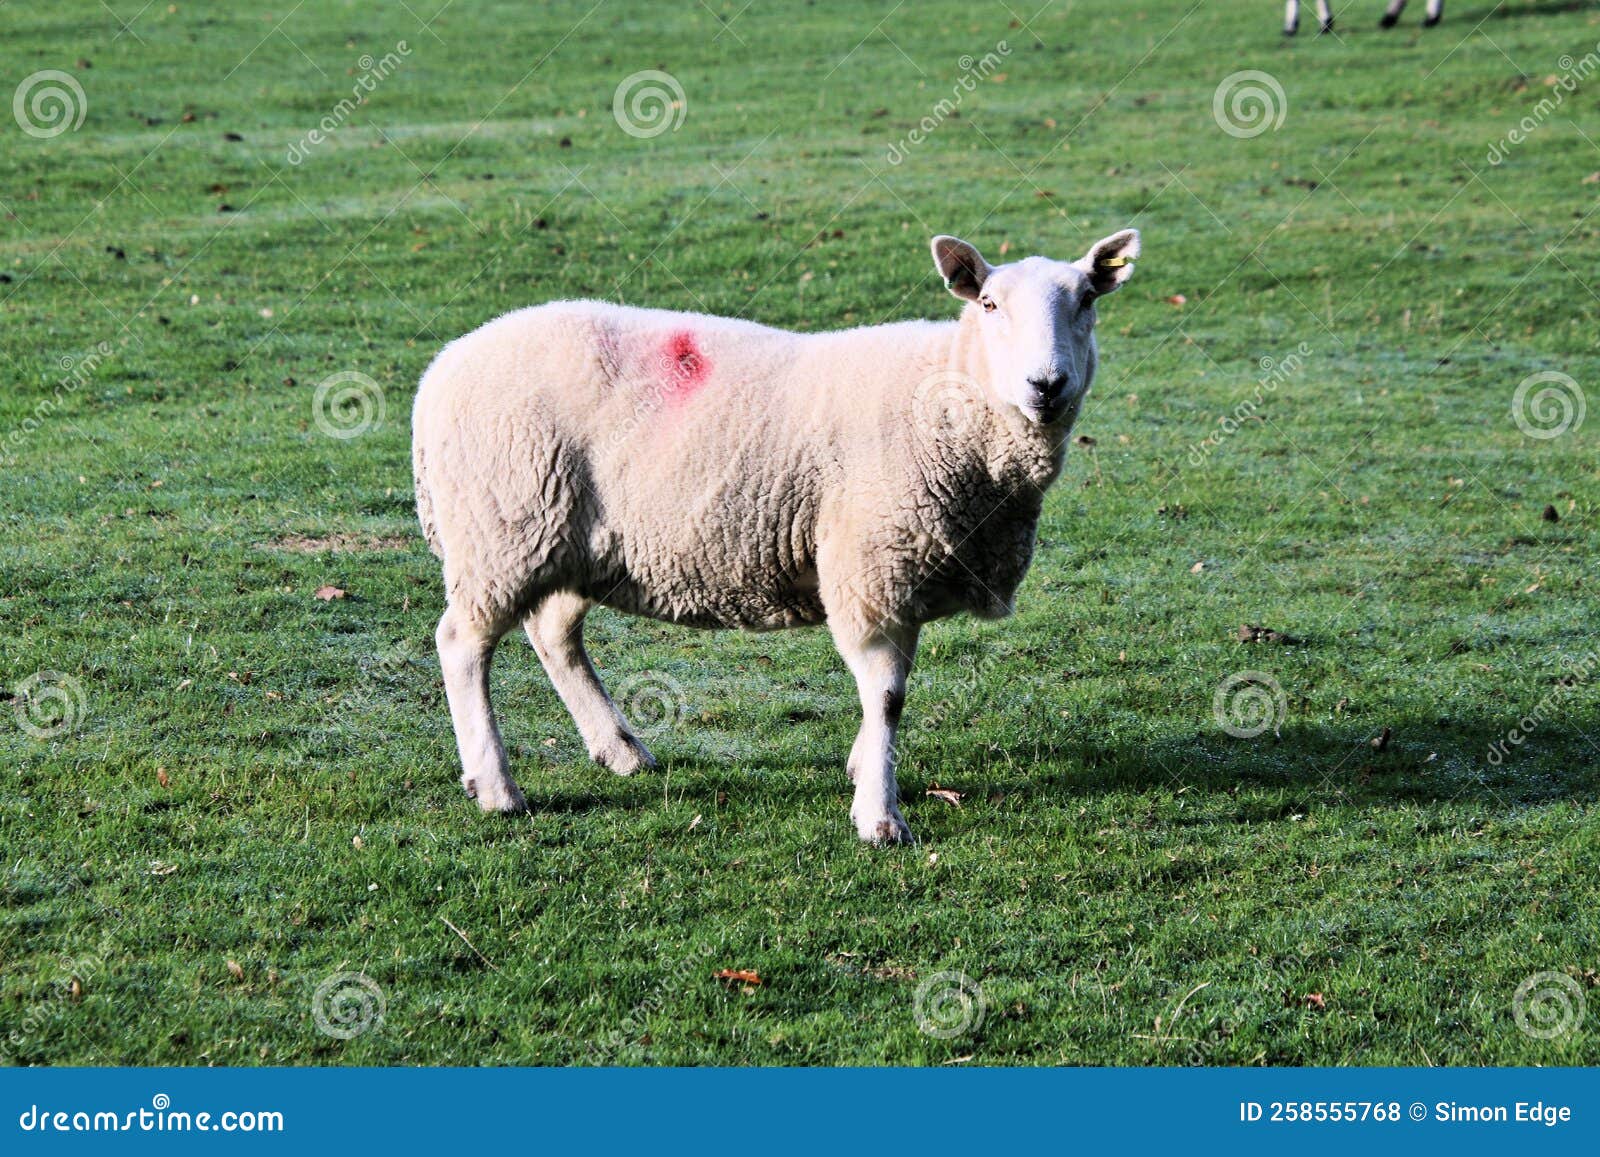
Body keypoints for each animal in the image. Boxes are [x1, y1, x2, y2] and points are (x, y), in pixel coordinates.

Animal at [412, 228, 1140, 844]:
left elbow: (890, 689)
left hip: (575, 538)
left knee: (554, 632)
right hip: (502, 528)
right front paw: (879, 816)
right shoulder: (872, 563)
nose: (1046, 385)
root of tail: (442, 366)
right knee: (463, 643)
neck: (951, 398)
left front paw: (862, 767)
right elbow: (888, 694)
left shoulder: (899, 569)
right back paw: (497, 786)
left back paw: (620, 750)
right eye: (989, 303)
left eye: (1086, 300)